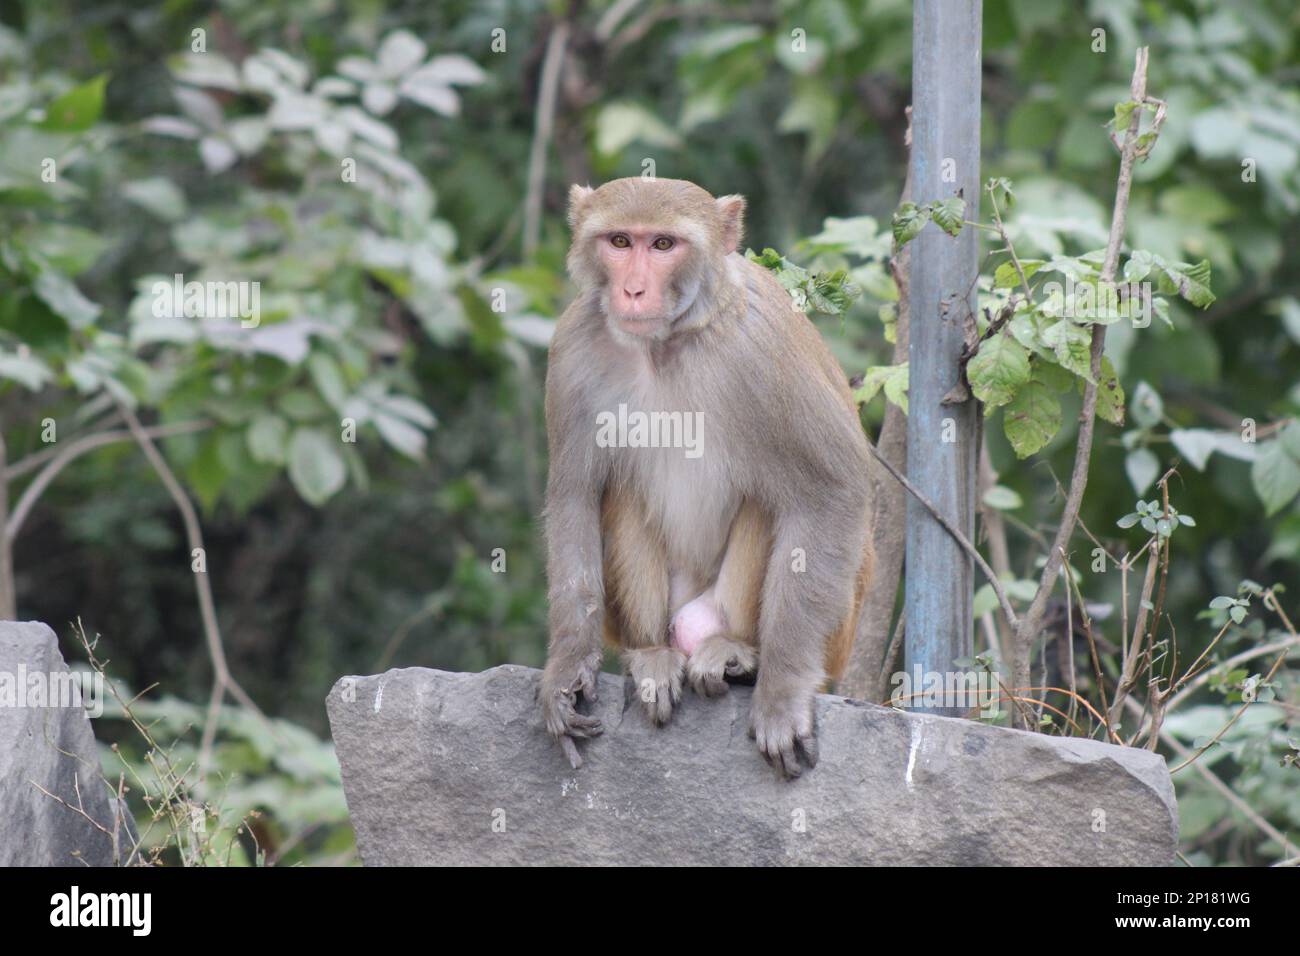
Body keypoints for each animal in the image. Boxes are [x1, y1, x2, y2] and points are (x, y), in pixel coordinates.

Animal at [539, 177, 873, 779]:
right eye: (620, 241)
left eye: (663, 245)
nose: (632, 291)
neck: (667, 343)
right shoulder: (573, 345)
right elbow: (575, 497)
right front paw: (567, 670)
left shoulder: (764, 346)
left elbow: (831, 492)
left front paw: (783, 694)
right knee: (619, 489)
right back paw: (652, 657)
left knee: (775, 497)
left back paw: (742, 655)